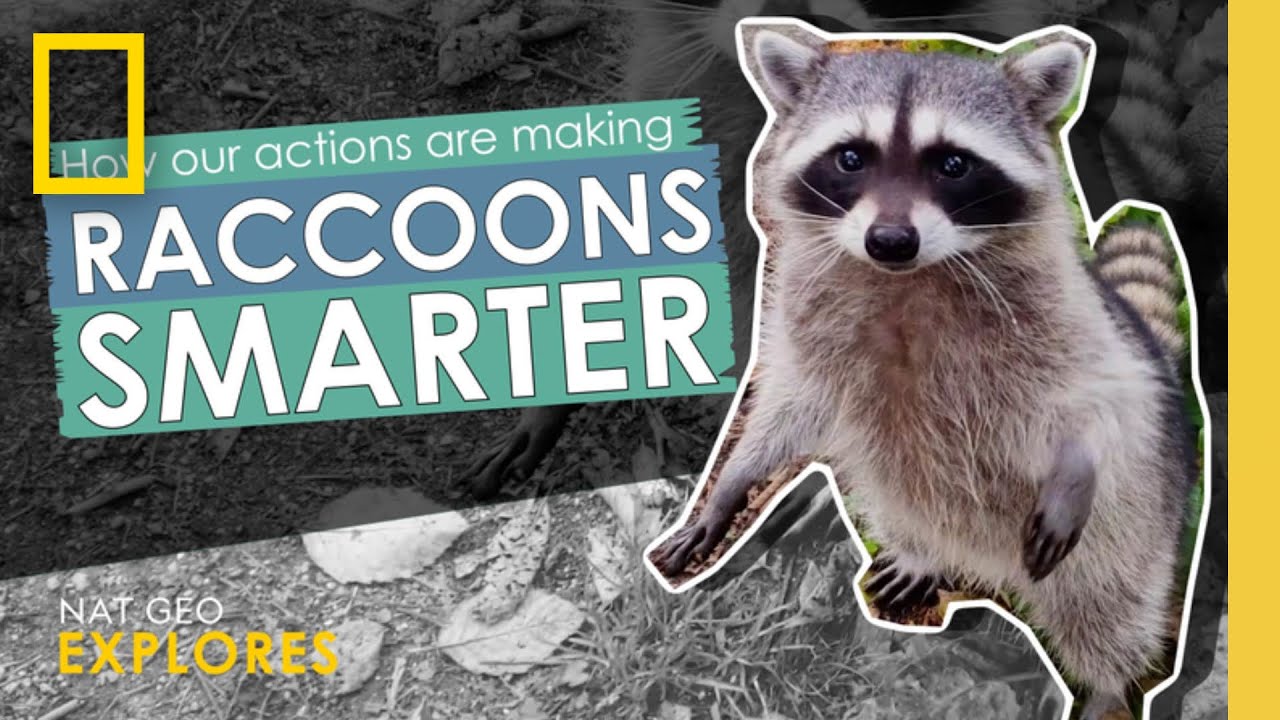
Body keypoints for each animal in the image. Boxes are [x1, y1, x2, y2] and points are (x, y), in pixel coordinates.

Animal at [650, 26, 1196, 719]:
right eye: (850, 158)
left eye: (953, 164)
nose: (890, 240)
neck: (906, 278)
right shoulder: (805, 317)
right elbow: (789, 404)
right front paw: (731, 485)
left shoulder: (1063, 315)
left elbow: (1098, 394)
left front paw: (1078, 456)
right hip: (911, 496)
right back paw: (922, 552)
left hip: (1131, 521)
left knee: (1105, 603)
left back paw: (1101, 685)